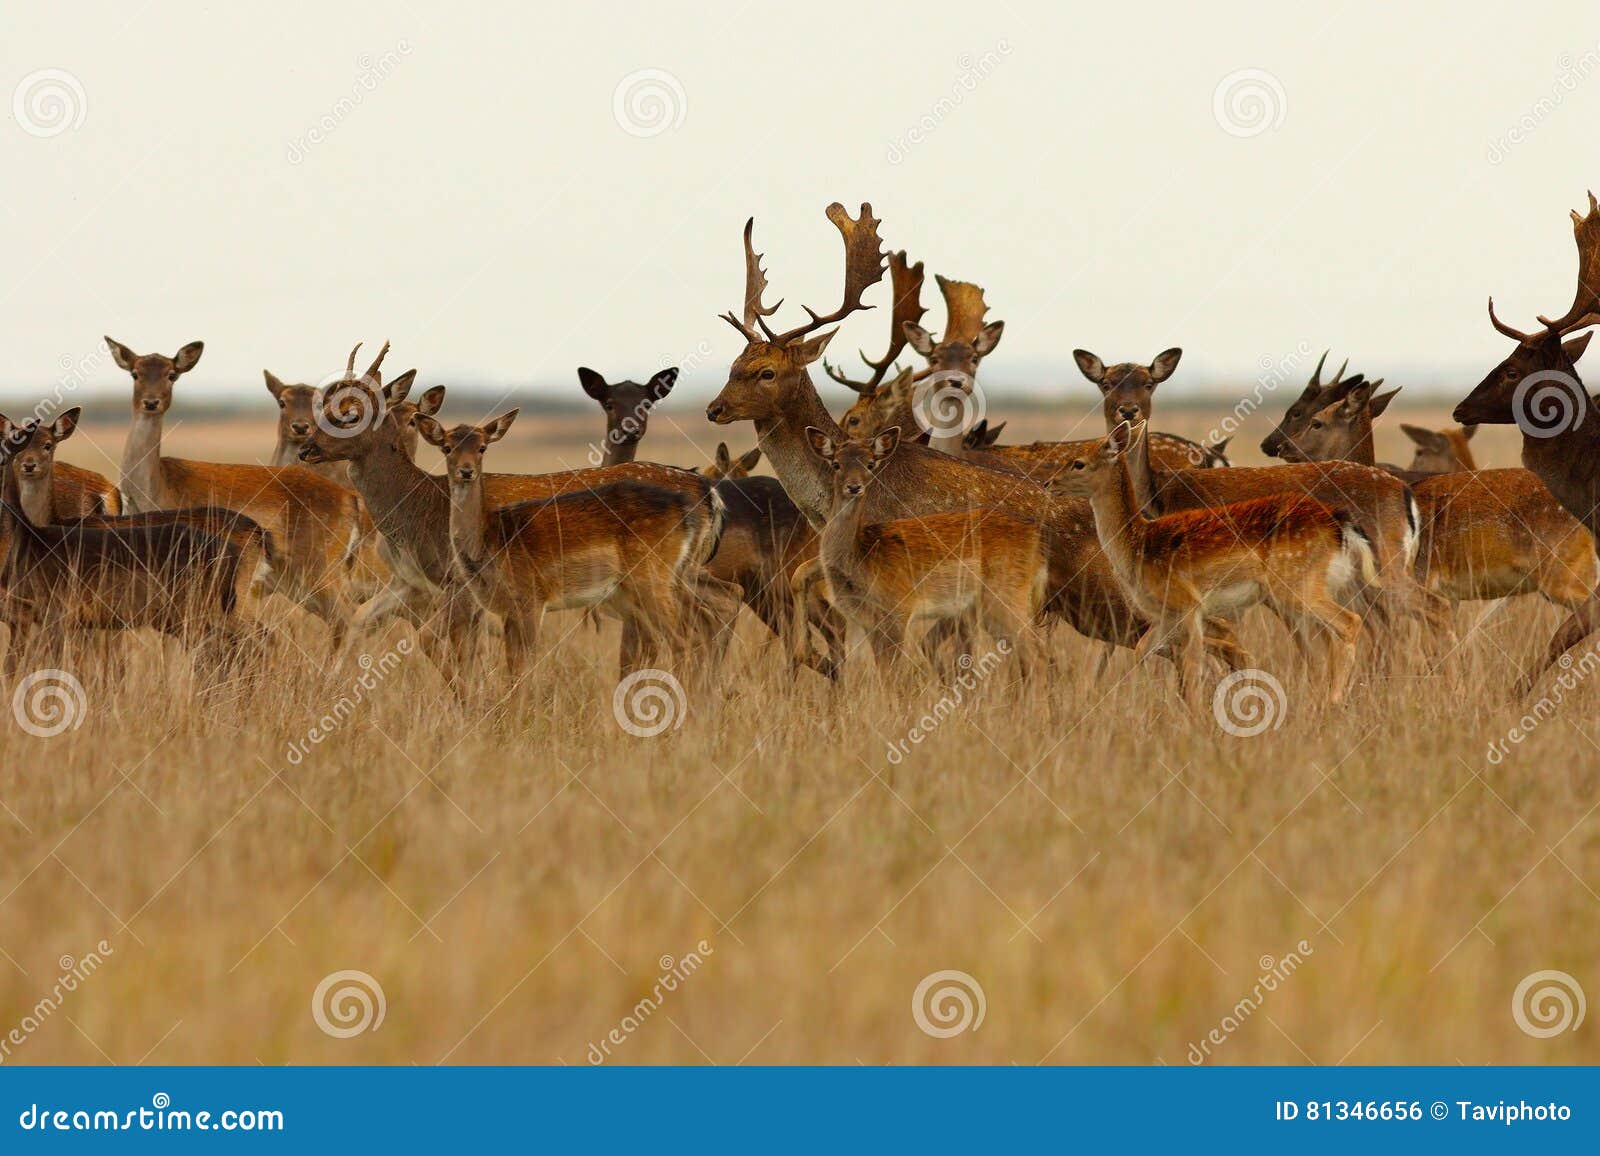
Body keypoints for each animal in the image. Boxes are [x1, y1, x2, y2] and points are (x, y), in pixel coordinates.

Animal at [107, 337, 365, 650]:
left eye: (172, 374)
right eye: (135, 373)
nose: (151, 401)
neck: (157, 487)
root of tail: (350, 498)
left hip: (318, 567)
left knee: (348, 616)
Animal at [416, 409, 728, 678]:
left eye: (482, 447)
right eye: (446, 447)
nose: (466, 471)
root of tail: (708, 494)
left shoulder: (529, 599)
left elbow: (521, 668)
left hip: (654, 577)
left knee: (685, 636)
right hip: (671, 578)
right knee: (703, 624)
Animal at [803, 425, 1046, 683]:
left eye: (870, 463)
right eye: (836, 463)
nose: (854, 487)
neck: (861, 557)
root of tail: (1034, 538)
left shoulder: (899, 609)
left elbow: (892, 675)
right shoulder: (867, 621)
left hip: (1006, 593)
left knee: (1036, 653)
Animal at [1064, 420, 1373, 710]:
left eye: (1079, 462)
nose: (1052, 481)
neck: (1137, 546)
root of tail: (1342, 527)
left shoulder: (1187, 605)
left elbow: (1192, 661)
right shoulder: (1168, 615)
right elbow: (1148, 649)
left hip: (1297, 587)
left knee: (1349, 623)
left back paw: (1334, 700)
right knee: (1325, 641)